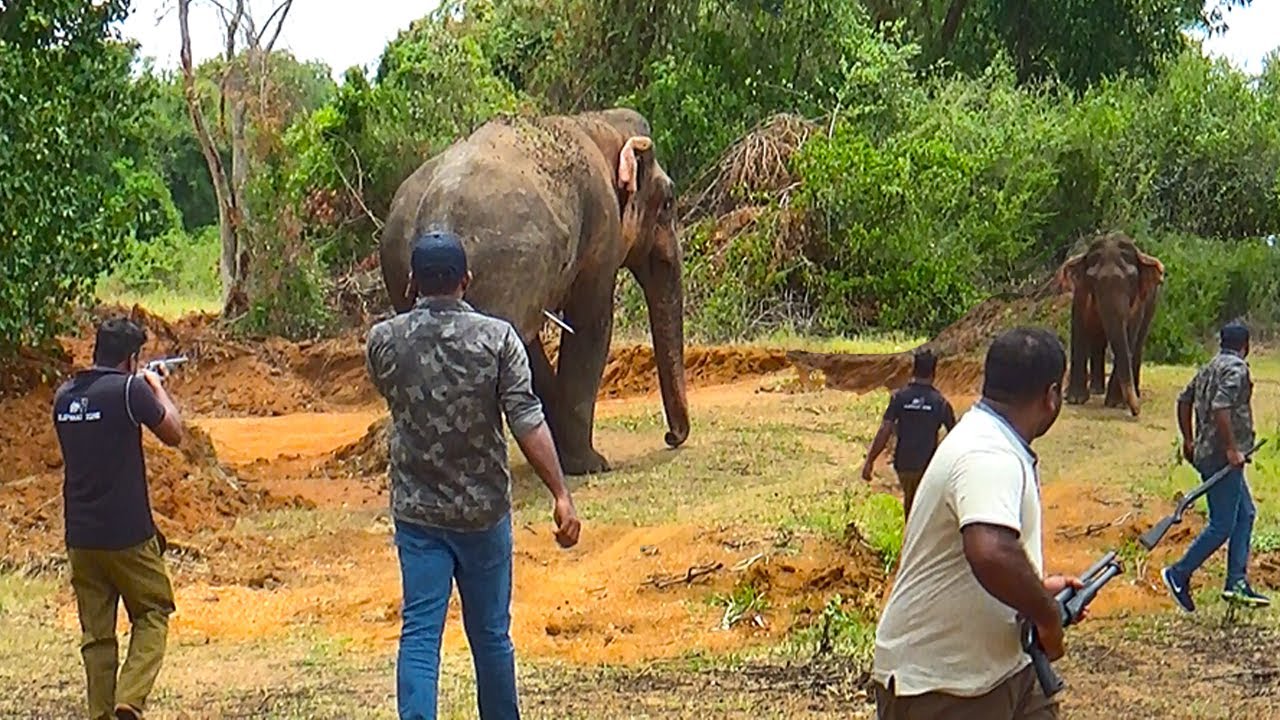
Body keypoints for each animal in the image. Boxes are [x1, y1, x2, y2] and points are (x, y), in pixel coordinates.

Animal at [377, 107, 689, 475]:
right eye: (668, 203)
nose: (671, 437)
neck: (598, 122)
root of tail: (435, 208)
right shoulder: (601, 229)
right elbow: (591, 325)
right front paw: (591, 465)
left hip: (404, 267)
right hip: (499, 263)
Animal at [1056, 231, 1165, 416]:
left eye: (1131, 279)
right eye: (1093, 280)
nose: (1136, 412)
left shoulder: (1139, 302)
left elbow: (1129, 333)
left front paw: (1115, 403)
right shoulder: (1081, 293)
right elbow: (1080, 327)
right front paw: (1075, 400)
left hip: (1152, 306)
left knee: (1138, 342)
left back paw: (1133, 393)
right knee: (1099, 341)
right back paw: (1096, 390)